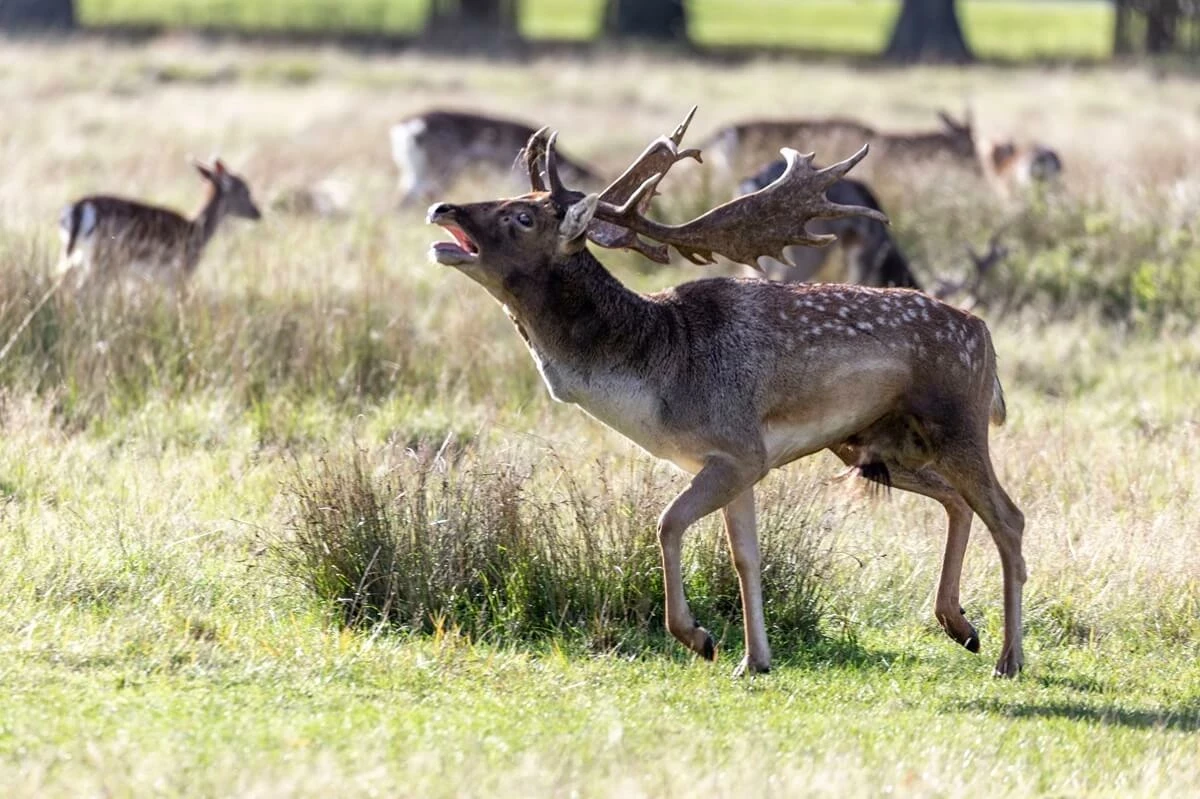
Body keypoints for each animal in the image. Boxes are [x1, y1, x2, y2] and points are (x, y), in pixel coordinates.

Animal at [58, 158, 262, 291]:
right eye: (245, 190)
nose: (257, 213)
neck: (197, 232)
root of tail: (78, 208)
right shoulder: (181, 272)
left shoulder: (145, 279)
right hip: (104, 258)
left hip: (73, 256)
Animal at [426, 107, 1026, 679]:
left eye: (523, 216)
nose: (442, 209)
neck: (655, 379)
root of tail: (985, 337)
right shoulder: (737, 463)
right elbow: (745, 556)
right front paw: (753, 659)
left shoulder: (738, 449)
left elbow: (667, 522)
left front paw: (699, 638)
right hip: (868, 446)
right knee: (956, 501)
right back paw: (960, 626)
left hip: (958, 421)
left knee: (1009, 517)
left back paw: (1008, 658)